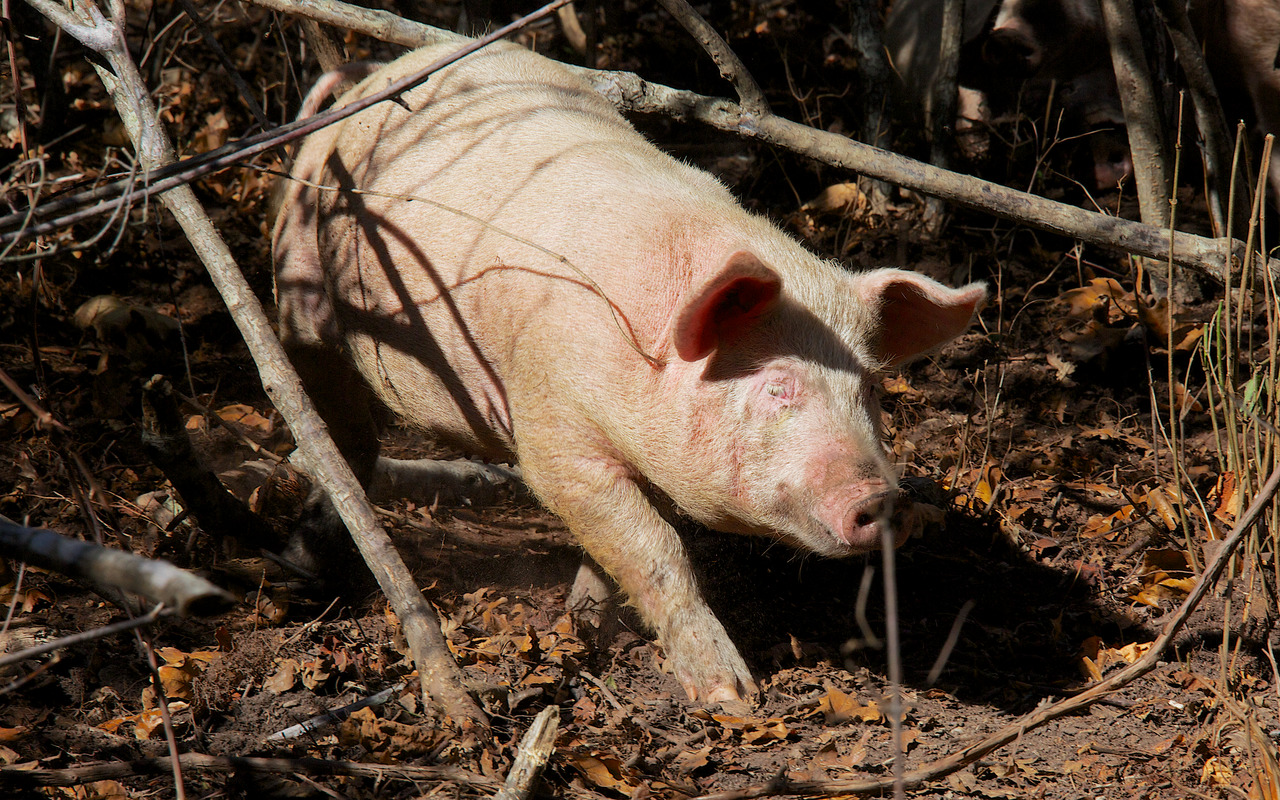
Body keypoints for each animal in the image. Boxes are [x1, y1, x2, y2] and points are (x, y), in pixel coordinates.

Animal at [272, 41, 986, 703]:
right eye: (778, 385)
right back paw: (300, 566)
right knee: (336, 428)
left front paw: (585, 618)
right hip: (300, 272)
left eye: (868, 388)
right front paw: (730, 697)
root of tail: (375, 74)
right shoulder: (552, 426)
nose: (883, 497)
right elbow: (655, 547)